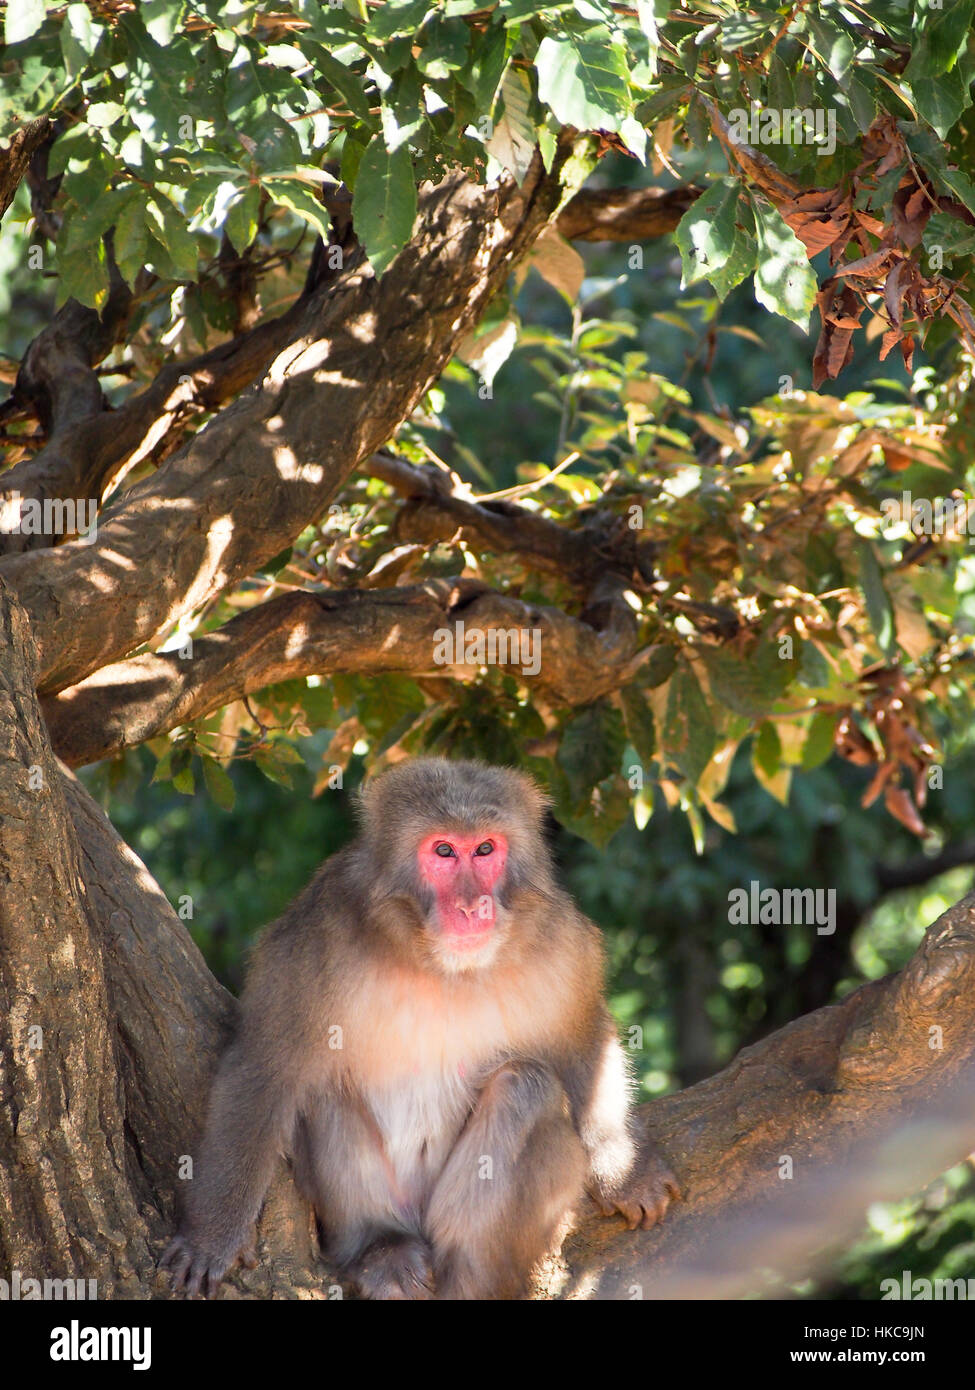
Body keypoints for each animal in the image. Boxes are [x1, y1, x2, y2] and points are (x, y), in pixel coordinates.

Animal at [160, 757, 679, 1300]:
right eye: (444, 851)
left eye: (486, 849)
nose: (473, 906)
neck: (440, 965)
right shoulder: (313, 938)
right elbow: (264, 1067)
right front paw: (213, 1237)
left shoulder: (563, 943)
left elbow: (582, 1044)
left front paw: (624, 1169)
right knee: (324, 1089)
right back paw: (379, 1248)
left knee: (526, 1087)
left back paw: (467, 1278)